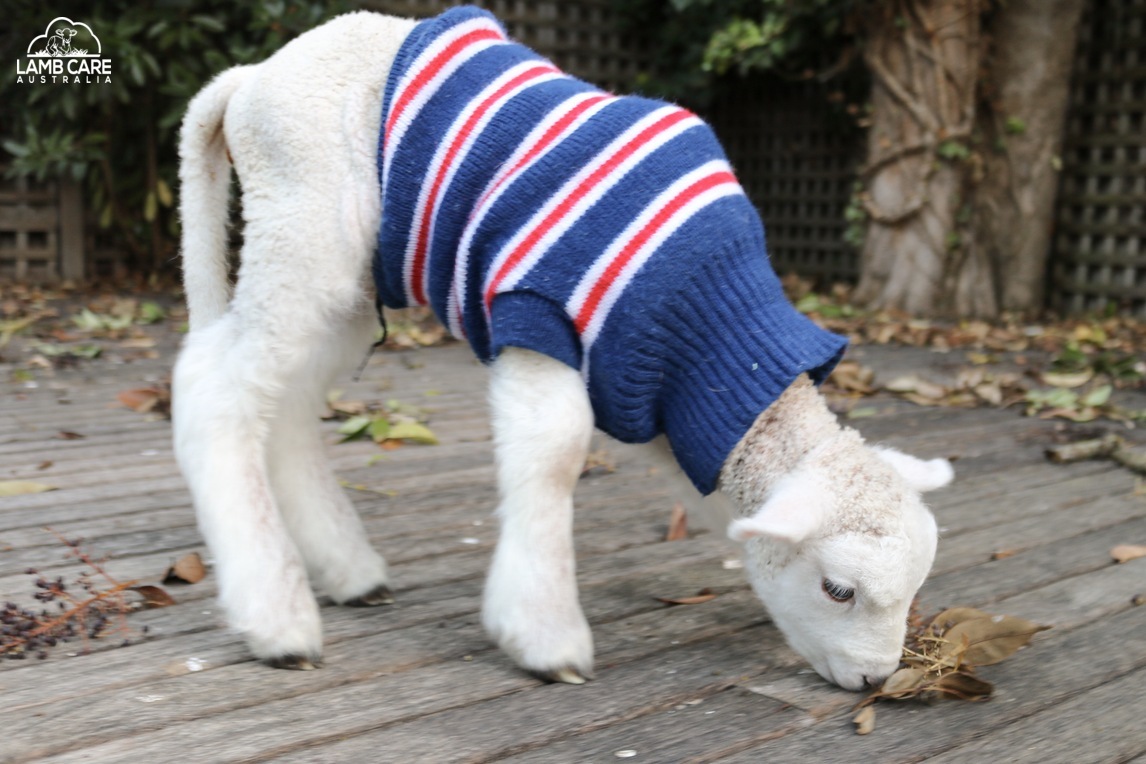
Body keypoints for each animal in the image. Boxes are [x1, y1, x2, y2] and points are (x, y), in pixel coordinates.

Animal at [174, 7, 952, 691]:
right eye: (837, 589)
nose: (875, 678)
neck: (709, 320)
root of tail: (248, 77)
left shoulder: (663, 399)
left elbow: (706, 497)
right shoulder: (534, 314)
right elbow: (553, 447)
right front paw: (544, 635)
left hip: (345, 288)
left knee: (285, 407)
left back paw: (346, 571)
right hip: (305, 231)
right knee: (214, 385)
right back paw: (277, 618)